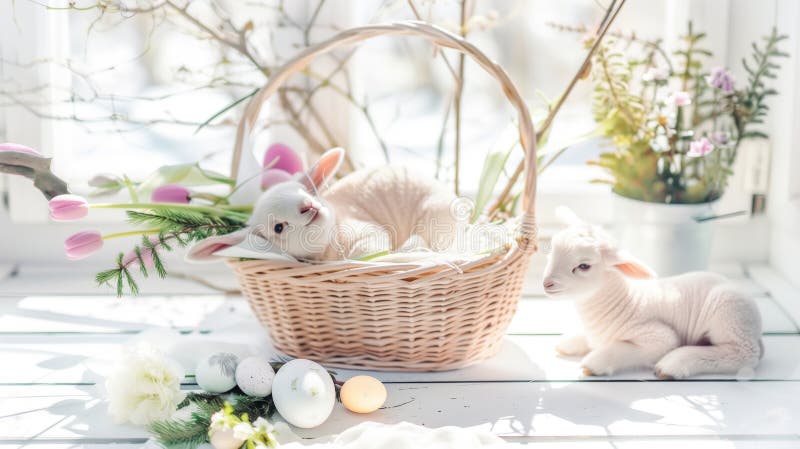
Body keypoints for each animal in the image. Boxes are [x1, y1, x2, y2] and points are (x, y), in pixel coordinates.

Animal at [541, 208, 763, 379]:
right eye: (551, 252)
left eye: (583, 266)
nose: (546, 284)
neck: (622, 302)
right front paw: (569, 342)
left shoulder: (659, 337)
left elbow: (623, 348)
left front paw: (595, 363)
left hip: (729, 313)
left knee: (743, 354)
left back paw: (673, 364)